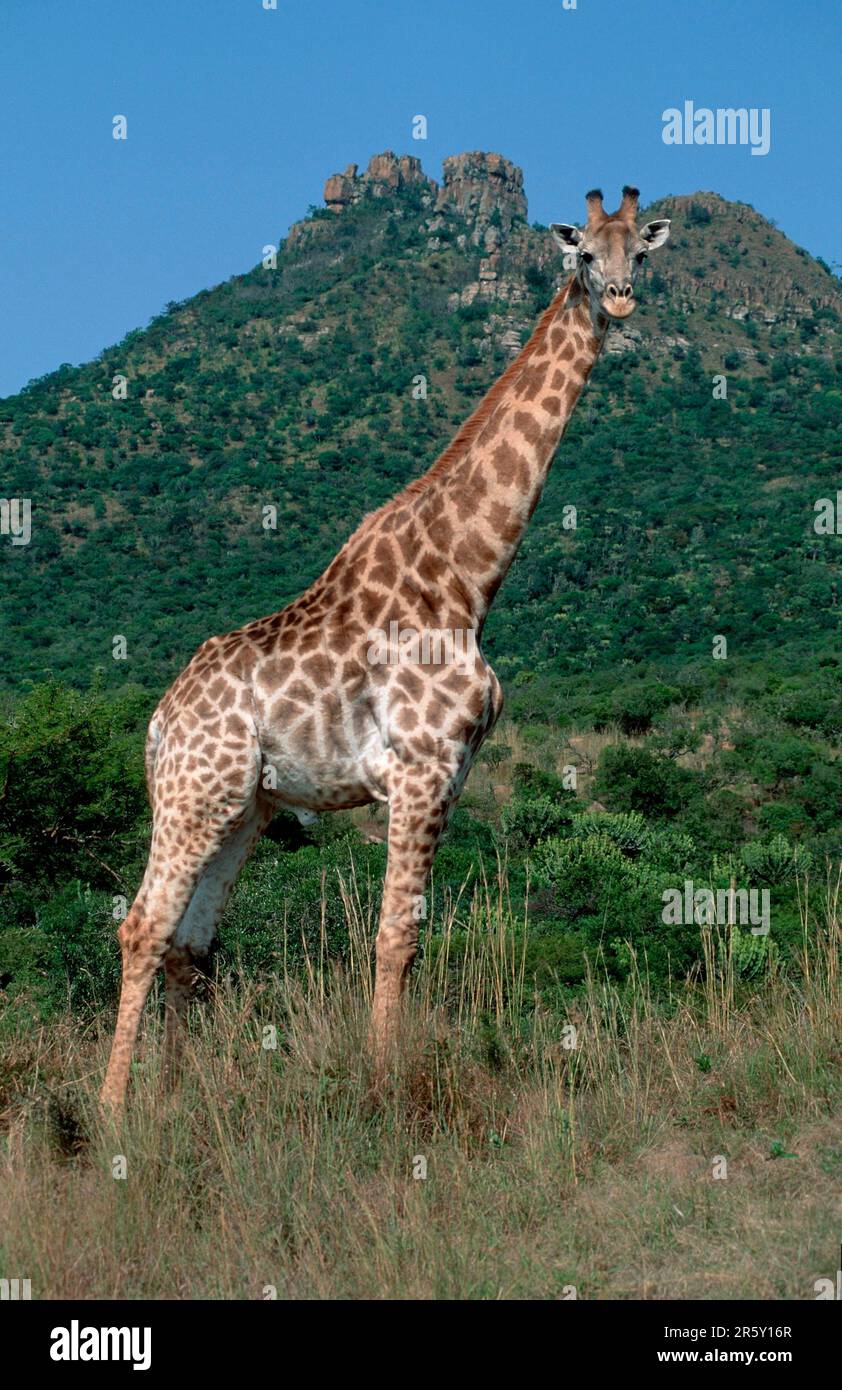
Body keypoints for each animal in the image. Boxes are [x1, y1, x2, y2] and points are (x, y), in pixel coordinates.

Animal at [100, 185, 670, 1113]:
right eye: (584, 254)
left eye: (642, 254)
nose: (619, 301)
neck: (470, 577)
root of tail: (158, 721)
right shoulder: (420, 766)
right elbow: (395, 934)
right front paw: (382, 1083)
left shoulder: (455, 771)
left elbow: (413, 932)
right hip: (192, 795)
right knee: (144, 927)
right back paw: (114, 1112)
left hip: (242, 807)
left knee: (191, 944)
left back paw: (170, 1102)